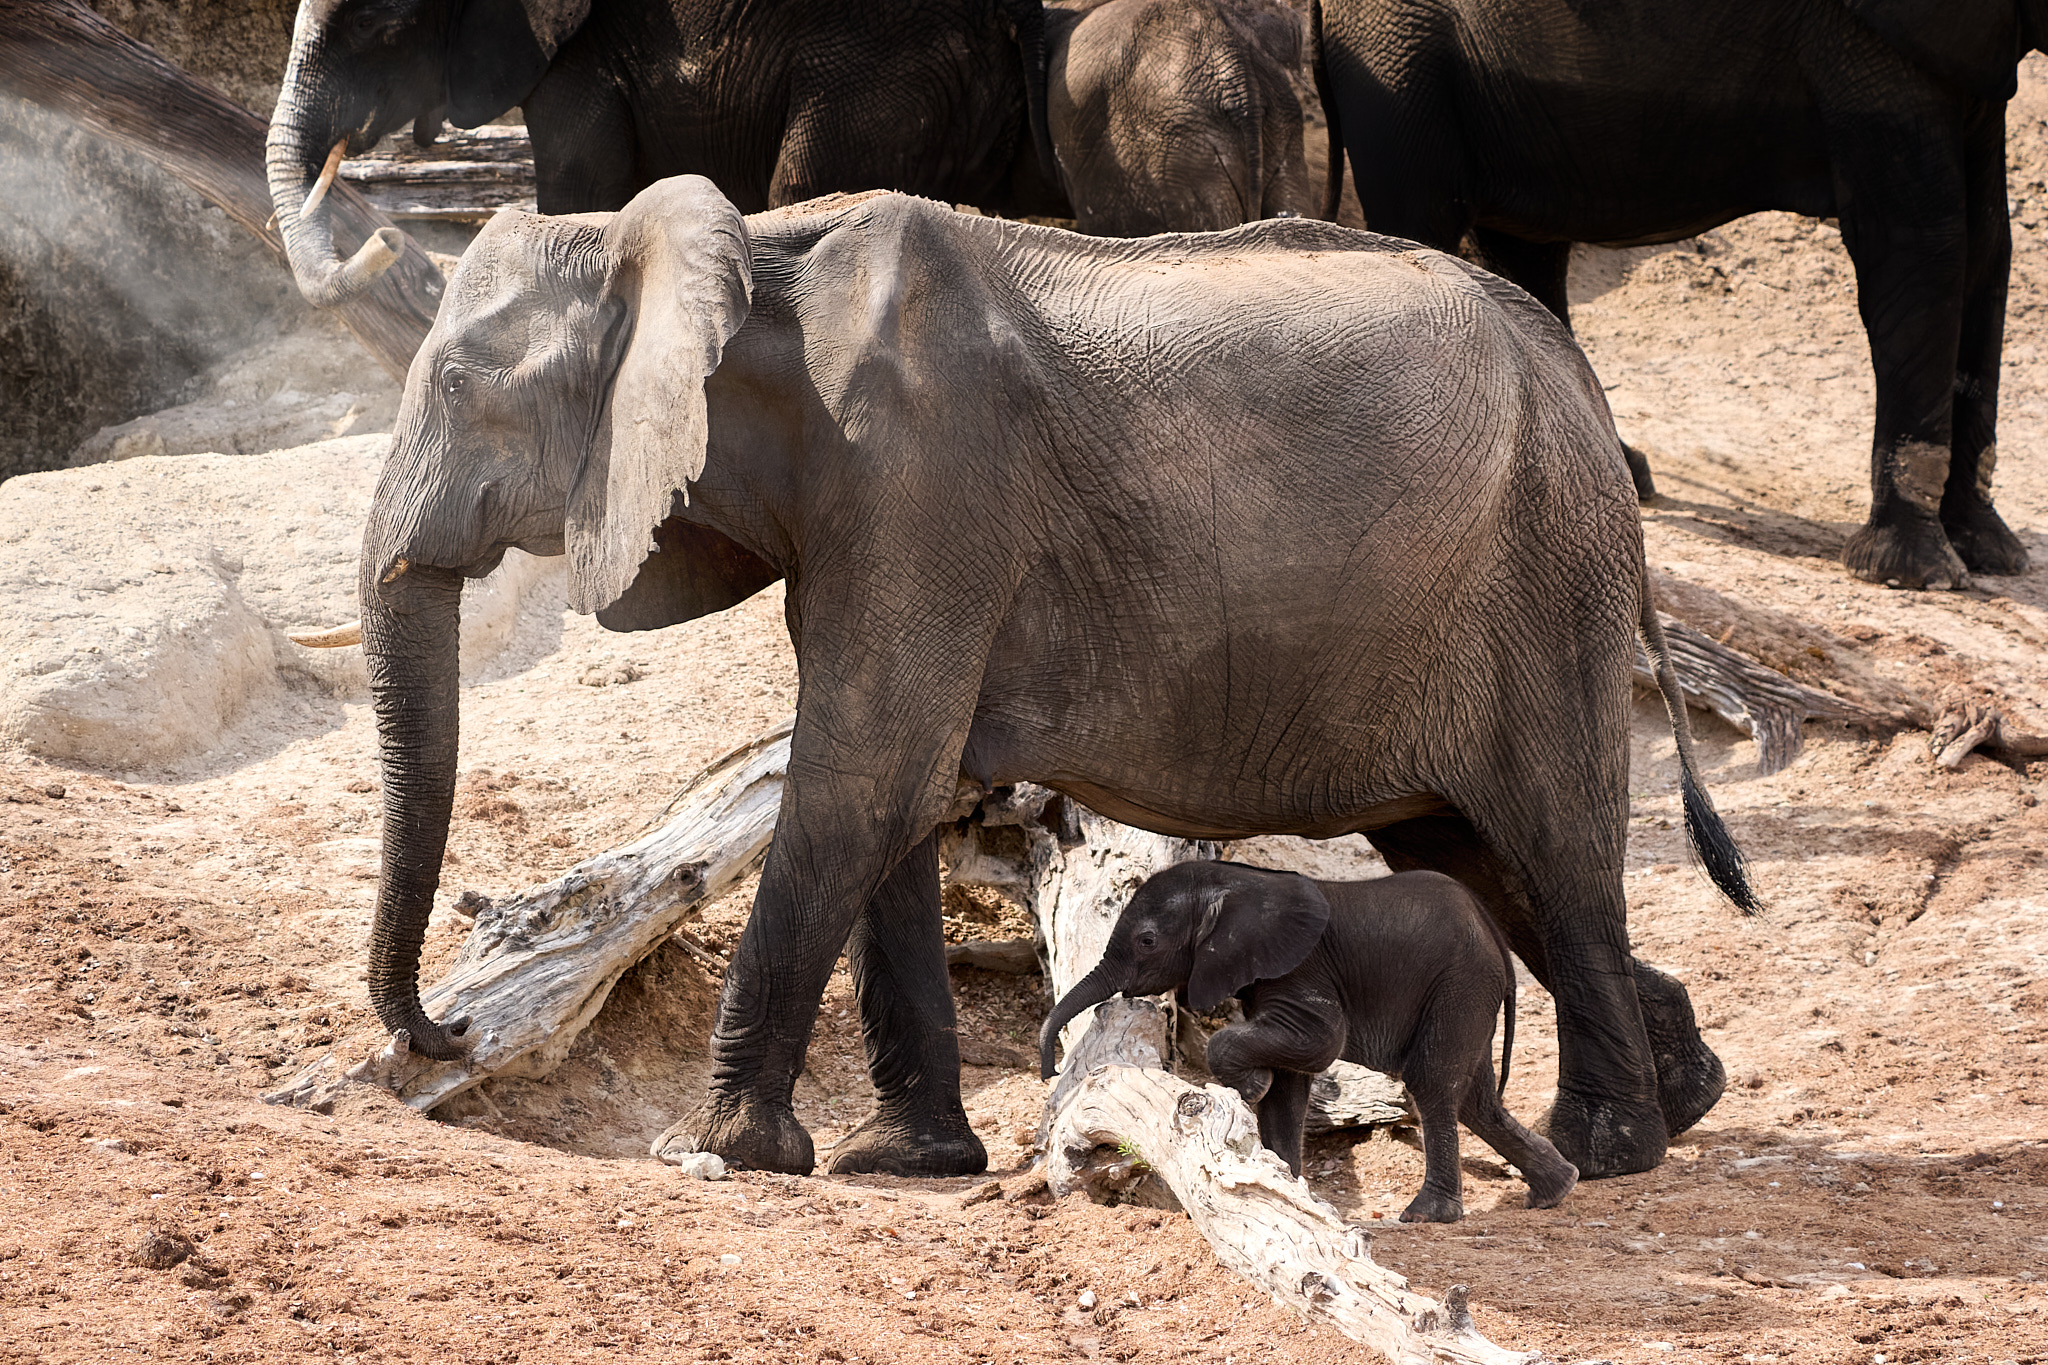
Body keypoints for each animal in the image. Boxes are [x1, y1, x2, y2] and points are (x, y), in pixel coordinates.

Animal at [333, 172, 1759, 1182]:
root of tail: (1572, 368)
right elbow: (897, 798)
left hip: (1544, 582)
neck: (743, 251)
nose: (446, 1033)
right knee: (1473, 854)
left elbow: (860, 782)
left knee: (1552, 854)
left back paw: (1603, 1150)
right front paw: (903, 1162)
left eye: (454, 380)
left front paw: (719, 1153)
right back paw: (1680, 1096)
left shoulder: (921, 489)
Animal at [1040, 862, 1579, 1222]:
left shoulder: (1302, 966)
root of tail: (1496, 936)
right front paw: (1285, 1182)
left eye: (1147, 942)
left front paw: (1249, 1087)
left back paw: (1427, 1215)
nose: (1050, 1070)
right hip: (1467, 993)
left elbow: (1323, 1040)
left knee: (1433, 1084)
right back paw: (1555, 1189)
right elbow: (1288, 1089)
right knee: (1475, 1098)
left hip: (1460, 984)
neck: (1237, 881)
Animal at [1312, 0, 2040, 590]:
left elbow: (1987, 244)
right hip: (1403, 55)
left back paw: (1619, 481)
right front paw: (1917, 575)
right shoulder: (1869, 45)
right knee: (1429, 219)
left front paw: (1993, 554)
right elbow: (1918, 242)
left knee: (1526, 250)